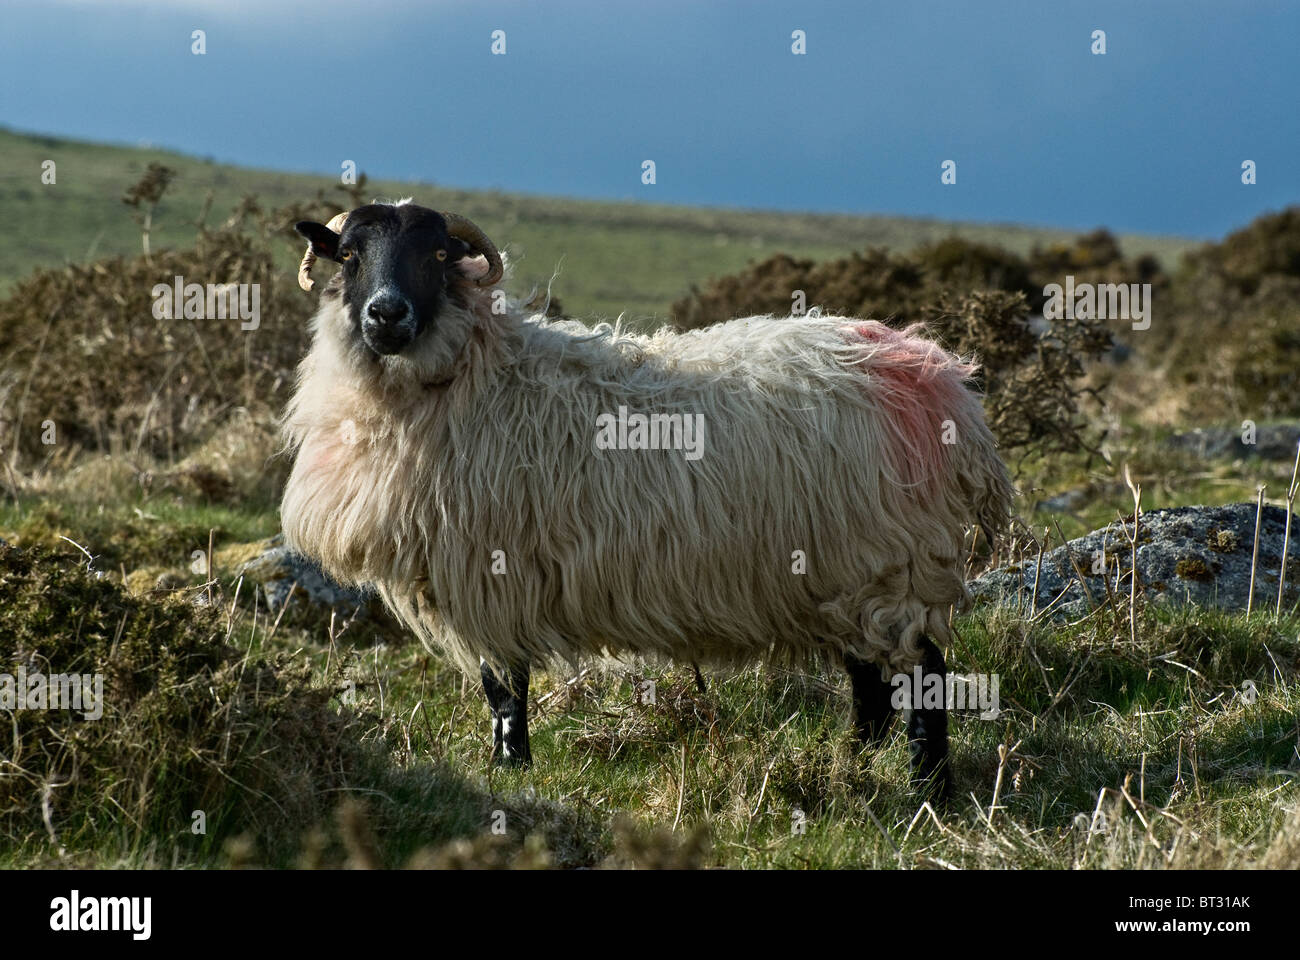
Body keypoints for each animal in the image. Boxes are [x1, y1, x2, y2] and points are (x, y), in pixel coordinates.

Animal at [282, 200, 1014, 798]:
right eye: (350, 255)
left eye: (436, 255)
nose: (386, 315)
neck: (469, 371)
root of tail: (935, 379)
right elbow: (502, 688)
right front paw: (510, 767)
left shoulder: (489, 571)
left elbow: (504, 688)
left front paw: (512, 770)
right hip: (843, 569)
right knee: (871, 687)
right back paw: (850, 768)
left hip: (887, 558)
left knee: (922, 676)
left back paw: (928, 789)